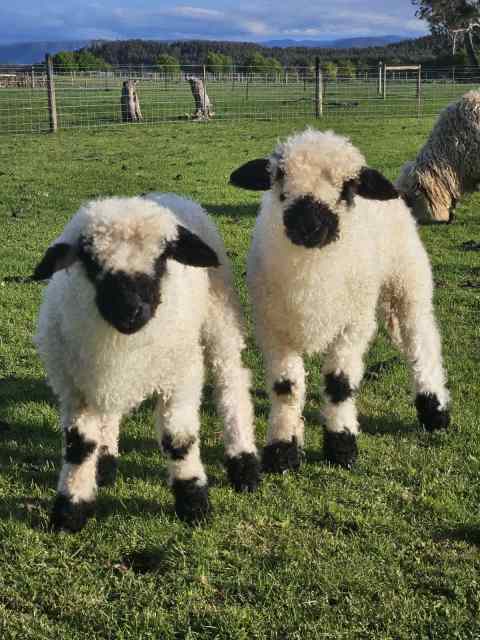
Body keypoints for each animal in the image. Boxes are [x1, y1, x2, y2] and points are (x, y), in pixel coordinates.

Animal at [33, 193, 260, 532]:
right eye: (90, 261)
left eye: (163, 257)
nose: (130, 310)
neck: (123, 343)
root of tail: (162, 196)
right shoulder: (77, 388)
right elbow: (79, 447)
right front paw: (70, 508)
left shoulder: (180, 376)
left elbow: (178, 440)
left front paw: (193, 501)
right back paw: (106, 463)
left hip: (219, 321)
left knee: (231, 384)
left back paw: (243, 462)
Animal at [230, 128, 450, 473]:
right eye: (278, 177)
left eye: (349, 188)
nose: (308, 224)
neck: (312, 273)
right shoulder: (273, 329)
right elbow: (286, 388)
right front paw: (282, 450)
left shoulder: (353, 327)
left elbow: (339, 385)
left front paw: (341, 445)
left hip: (407, 281)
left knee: (422, 342)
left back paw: (434, 408)